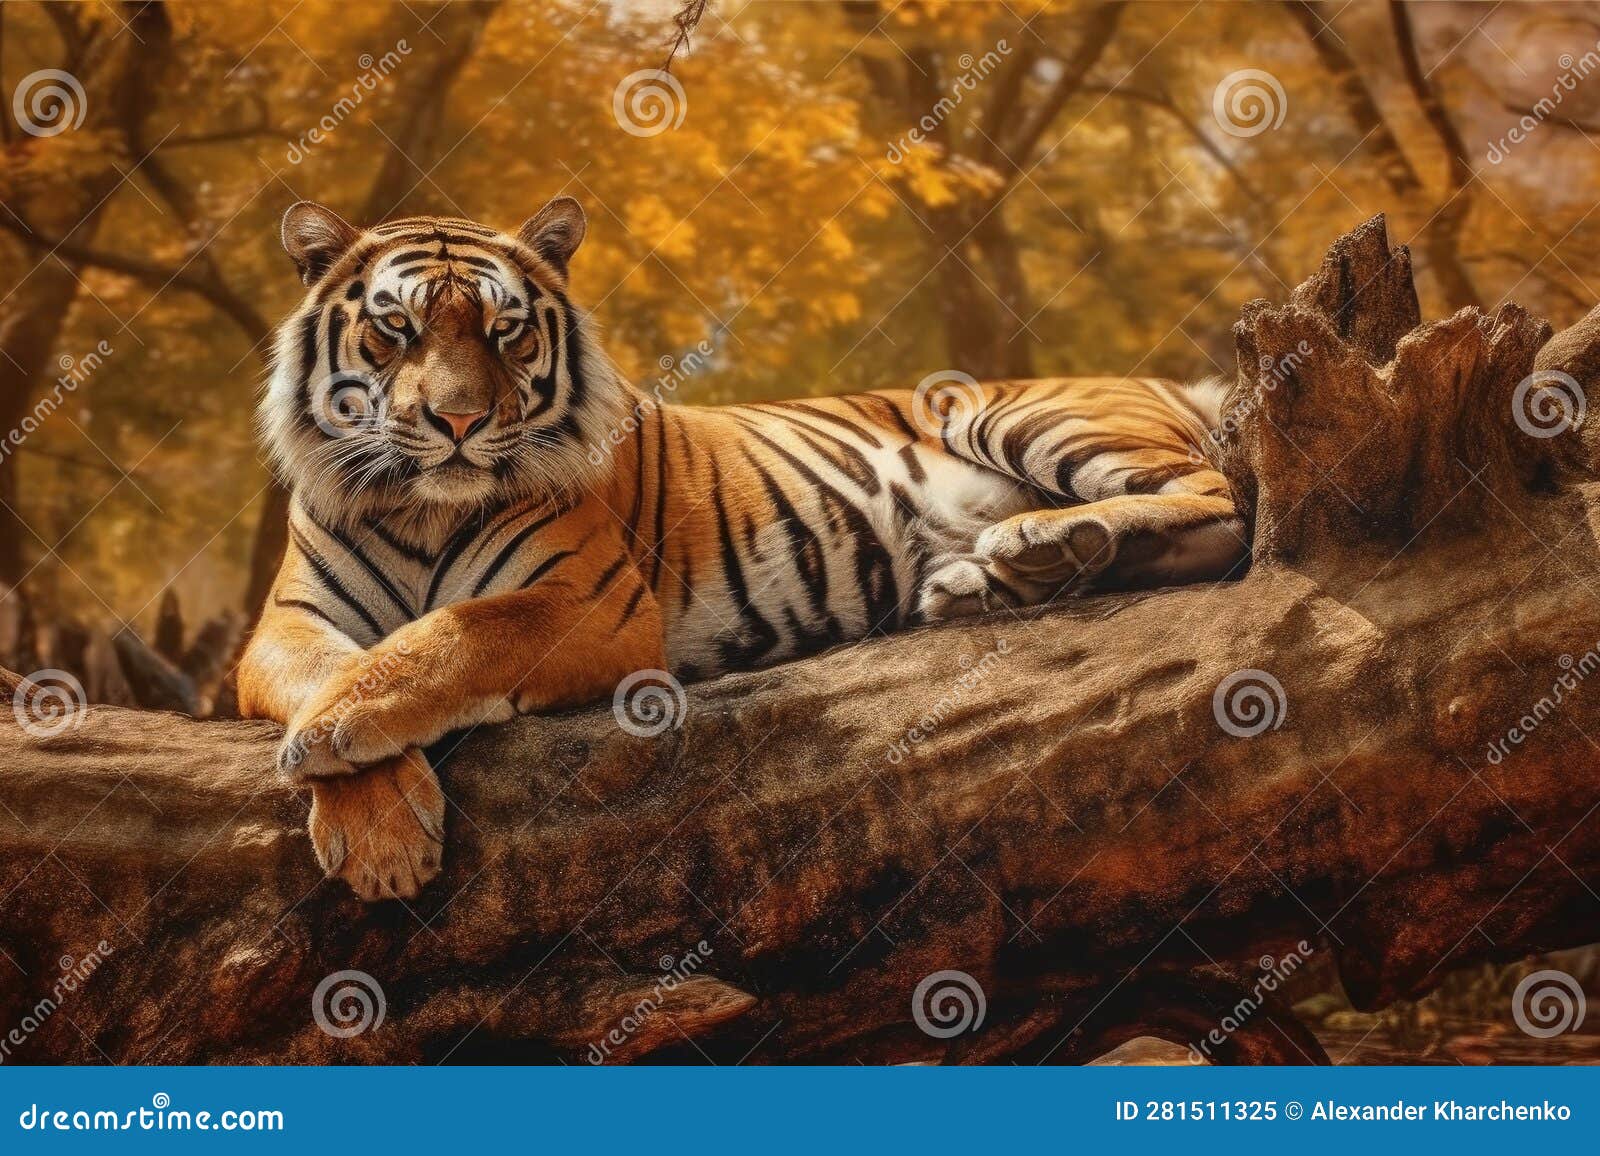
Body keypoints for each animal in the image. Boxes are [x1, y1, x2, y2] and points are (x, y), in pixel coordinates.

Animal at [237, 196, 1247, 901]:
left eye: (505, 330)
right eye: (395, 328)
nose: (458, 421)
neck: (420, 510)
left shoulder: (589, 601)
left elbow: (450, 636)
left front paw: (340, 737)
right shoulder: (284, 624)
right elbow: (329, 668)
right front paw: (378, 832)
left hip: (1012, 411)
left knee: (1223, 498)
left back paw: (1037, 540)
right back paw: (1004, 577)